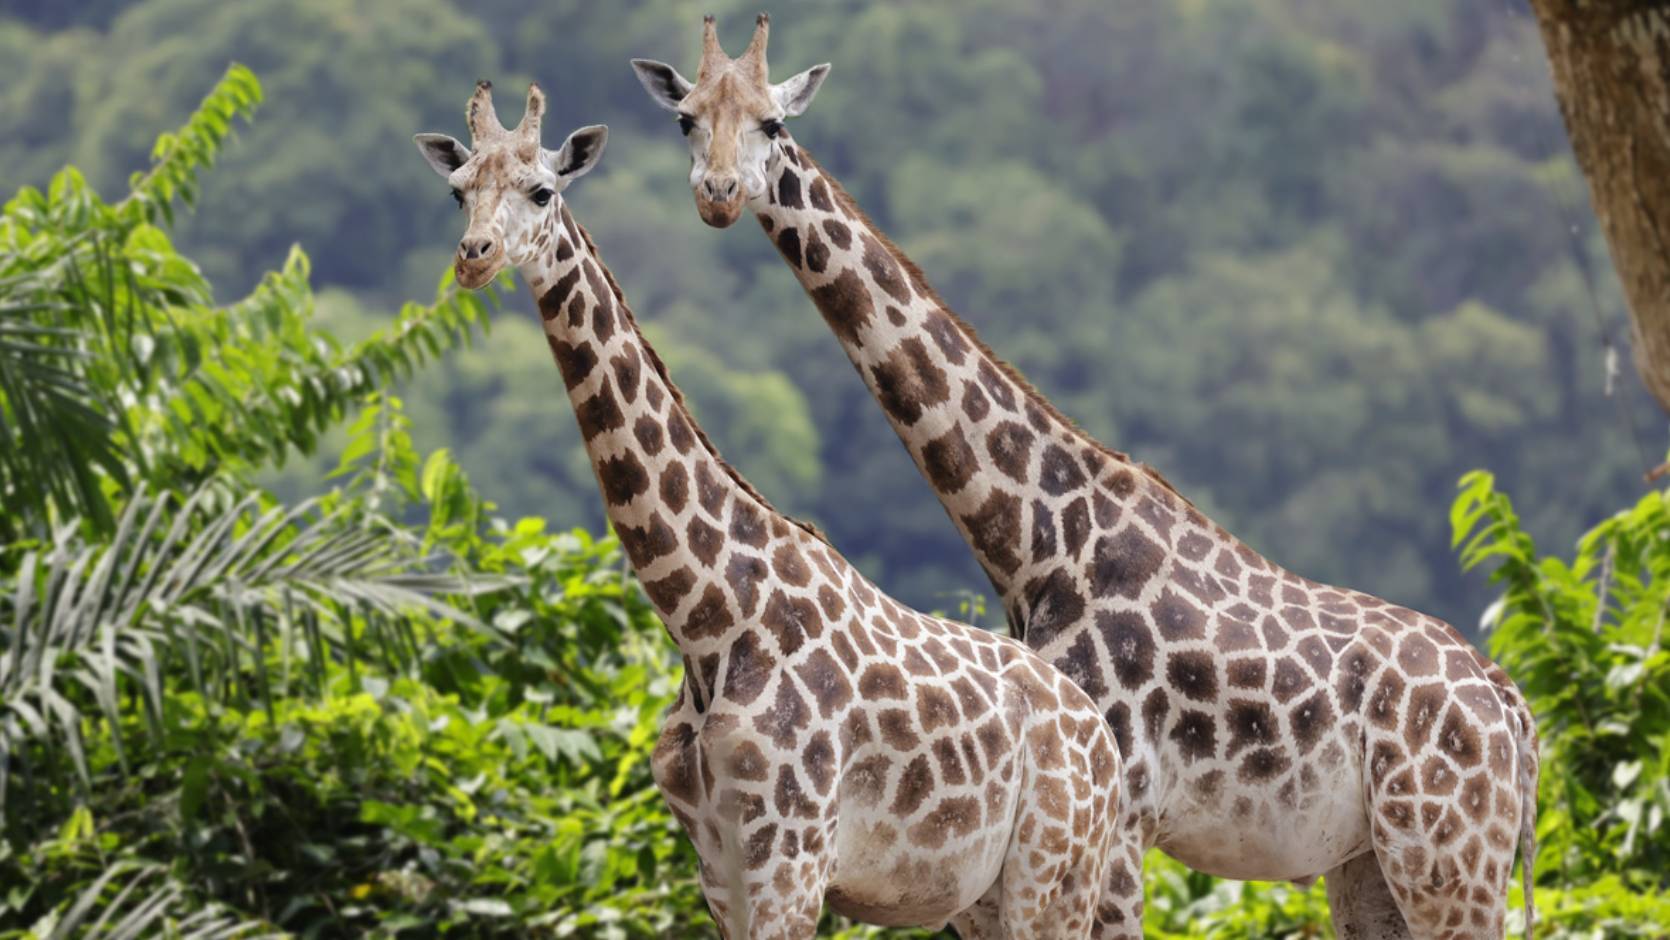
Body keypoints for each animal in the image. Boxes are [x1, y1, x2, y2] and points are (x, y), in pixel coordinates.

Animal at [413, 81, 1137, 939]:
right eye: (458, 192)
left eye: (541, 190)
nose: (475, 256)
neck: (706, 620)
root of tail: (1105, 748)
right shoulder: (718, 864)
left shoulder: (792, 857)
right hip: (981, 897)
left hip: (1055, 876)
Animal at [631, 16, 1541, 939]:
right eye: (688, 119)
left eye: (773, 123)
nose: (718, 193)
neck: (1033, 542)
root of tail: (1515, 715)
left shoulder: (1125, 806)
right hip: (1372, 862)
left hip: (1448, 852)